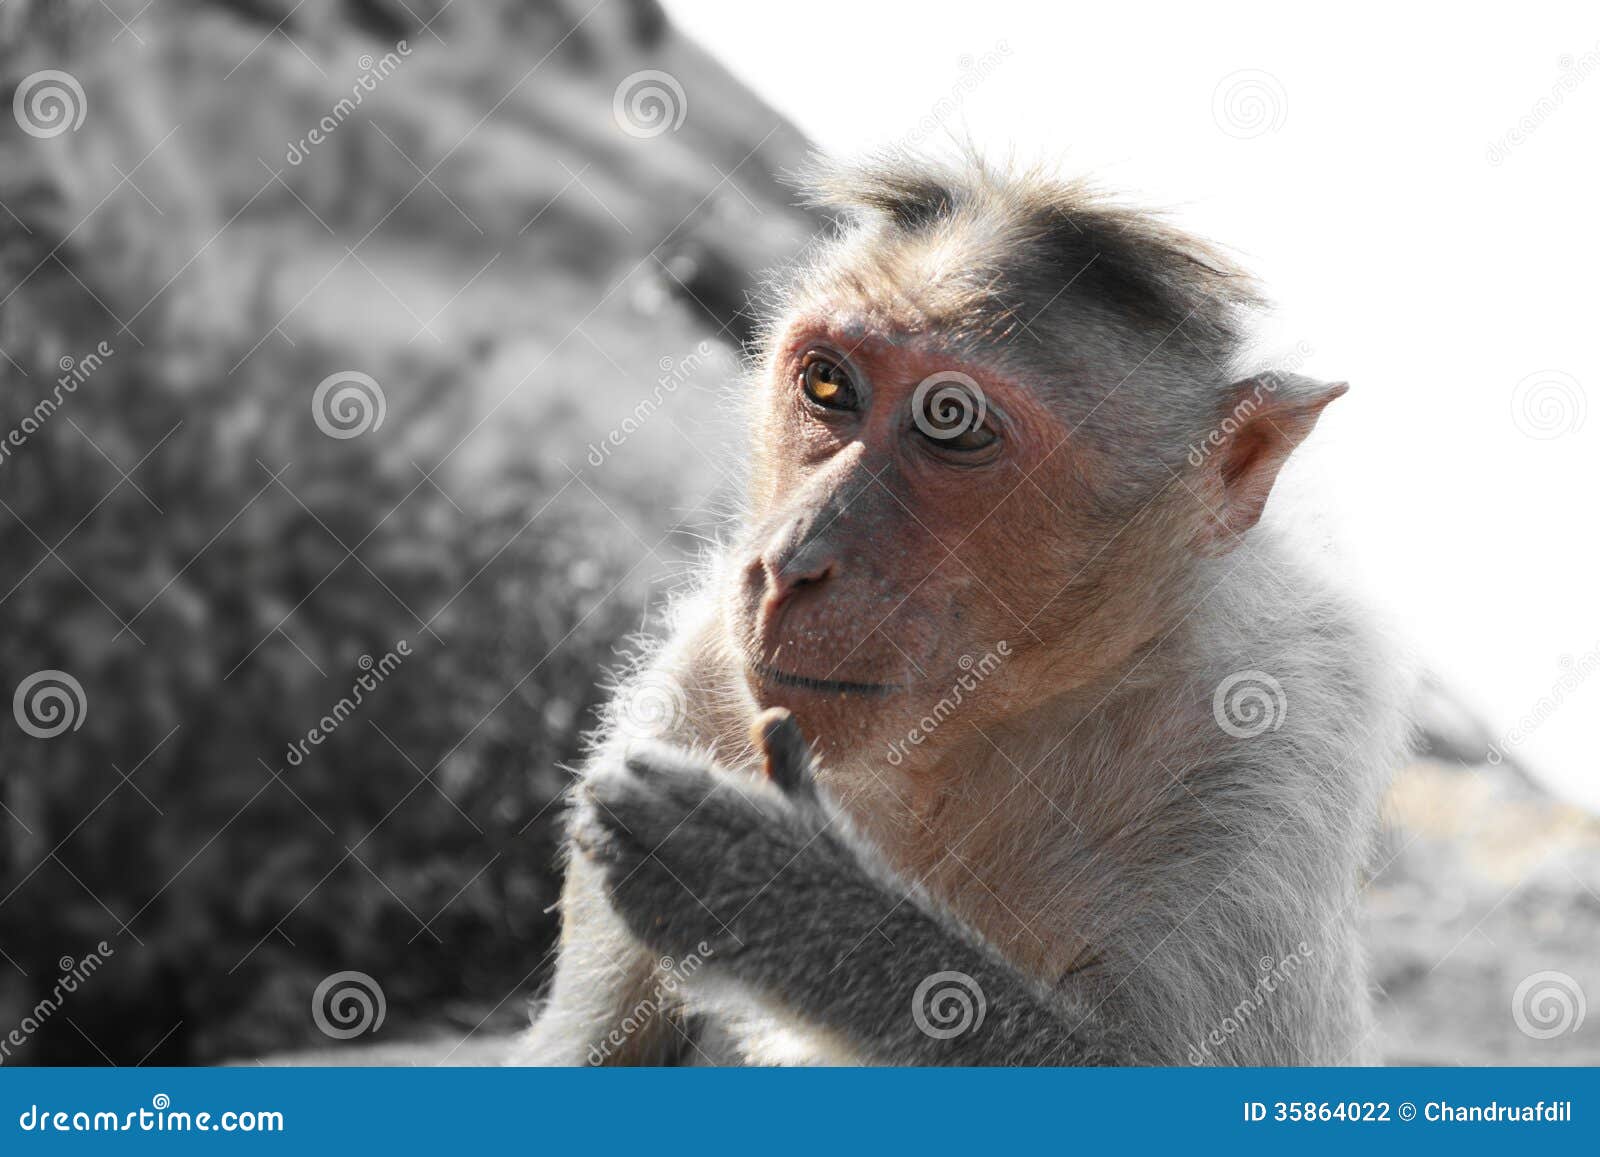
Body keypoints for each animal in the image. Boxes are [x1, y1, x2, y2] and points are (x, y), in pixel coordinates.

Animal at [516, 153, 1412, 1066]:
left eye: (952, 422)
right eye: (827, 382)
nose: (789, 565)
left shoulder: (1282, 744)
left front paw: (788, 897)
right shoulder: (694, 680)